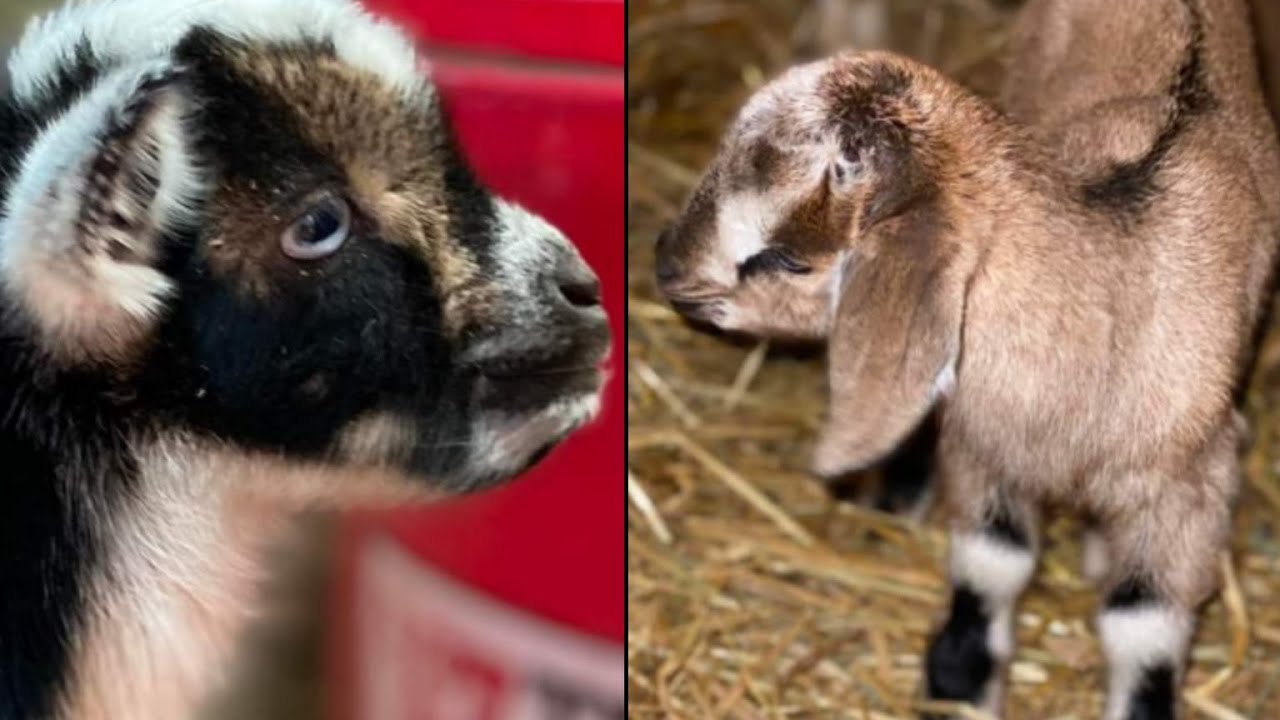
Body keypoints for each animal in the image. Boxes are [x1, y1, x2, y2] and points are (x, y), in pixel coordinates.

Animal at [654, 0, 1280, 717]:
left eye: (788, 258)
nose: (665, 264)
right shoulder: (986, 447)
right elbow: (990, 564)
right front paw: (957, 683)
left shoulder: (1187, 488)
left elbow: (1143, 628)